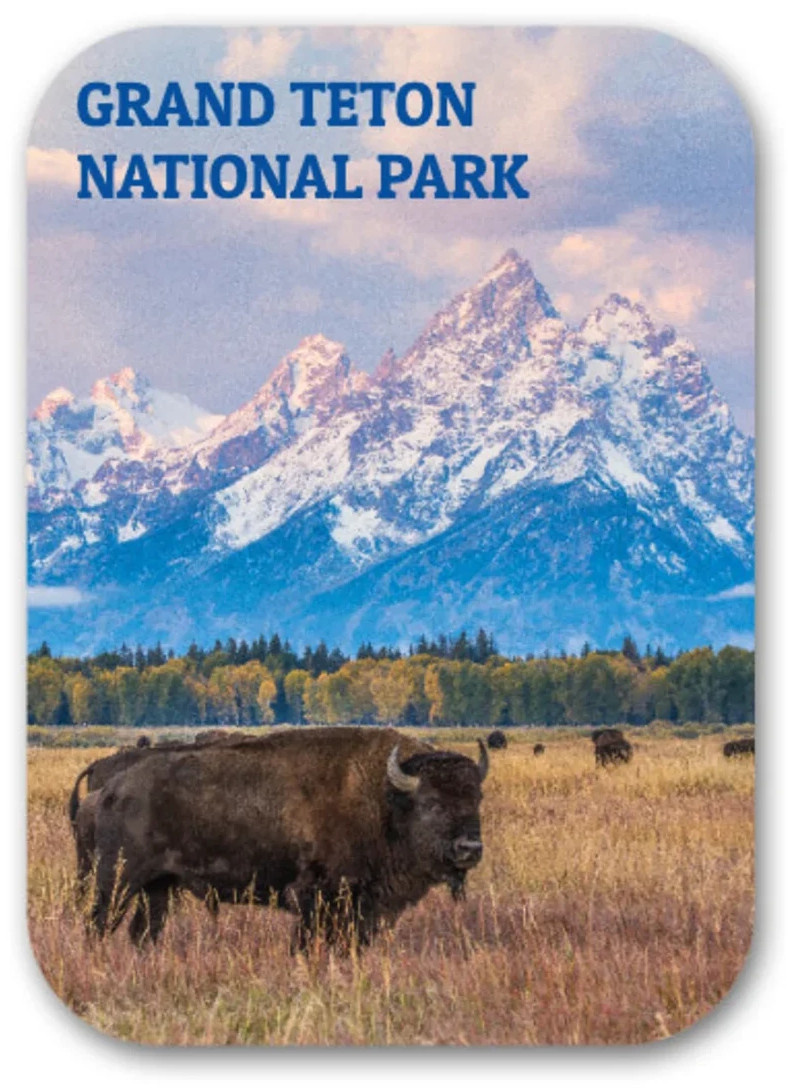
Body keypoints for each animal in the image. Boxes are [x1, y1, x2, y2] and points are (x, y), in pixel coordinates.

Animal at [82, 727, 488, 952]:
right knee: (98, 924)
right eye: (431, 803)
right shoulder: (315, 899)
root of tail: (111, 788)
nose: (469, 849)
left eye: (476, 799)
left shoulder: (361, 908)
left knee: (143, 931)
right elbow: (308, 944)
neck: (385, 799)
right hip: (117, 881)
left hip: (158, 887)